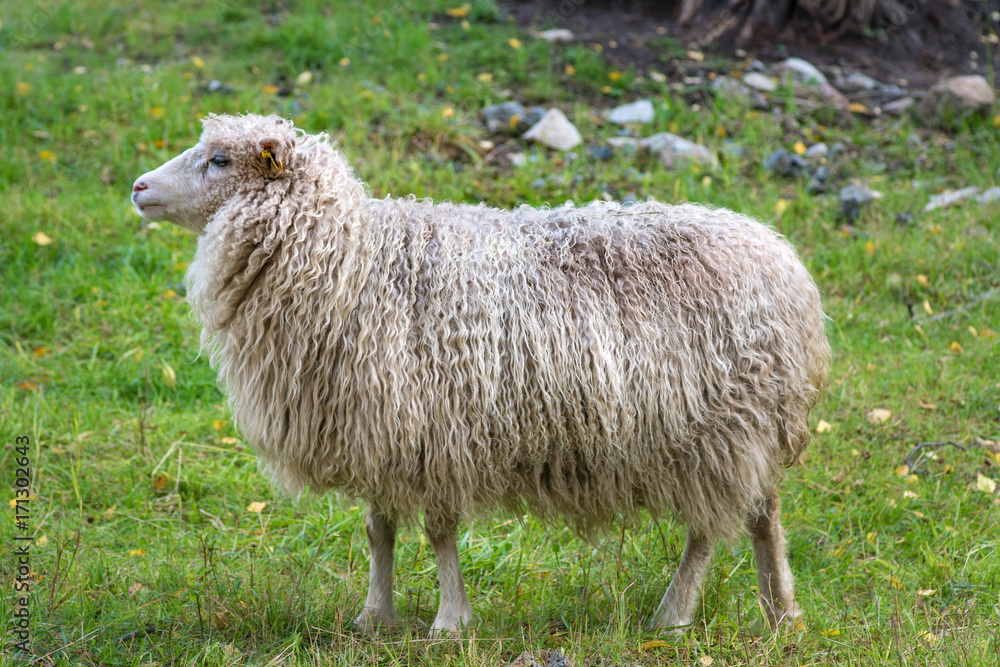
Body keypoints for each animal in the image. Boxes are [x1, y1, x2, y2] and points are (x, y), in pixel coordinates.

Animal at [131, 113, 830, 636]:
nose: (138, 187)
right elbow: (379, 530)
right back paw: (782, 612)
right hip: (742, 425)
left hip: (716, 428)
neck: (351, 262)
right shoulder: (381, 429)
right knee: (763, 514)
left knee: (710, 527)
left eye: (221, 160)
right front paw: (374, 618)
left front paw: (449, 622)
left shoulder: (436, 431)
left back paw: (675, 615)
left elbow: (439, 533)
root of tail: (781, 259)